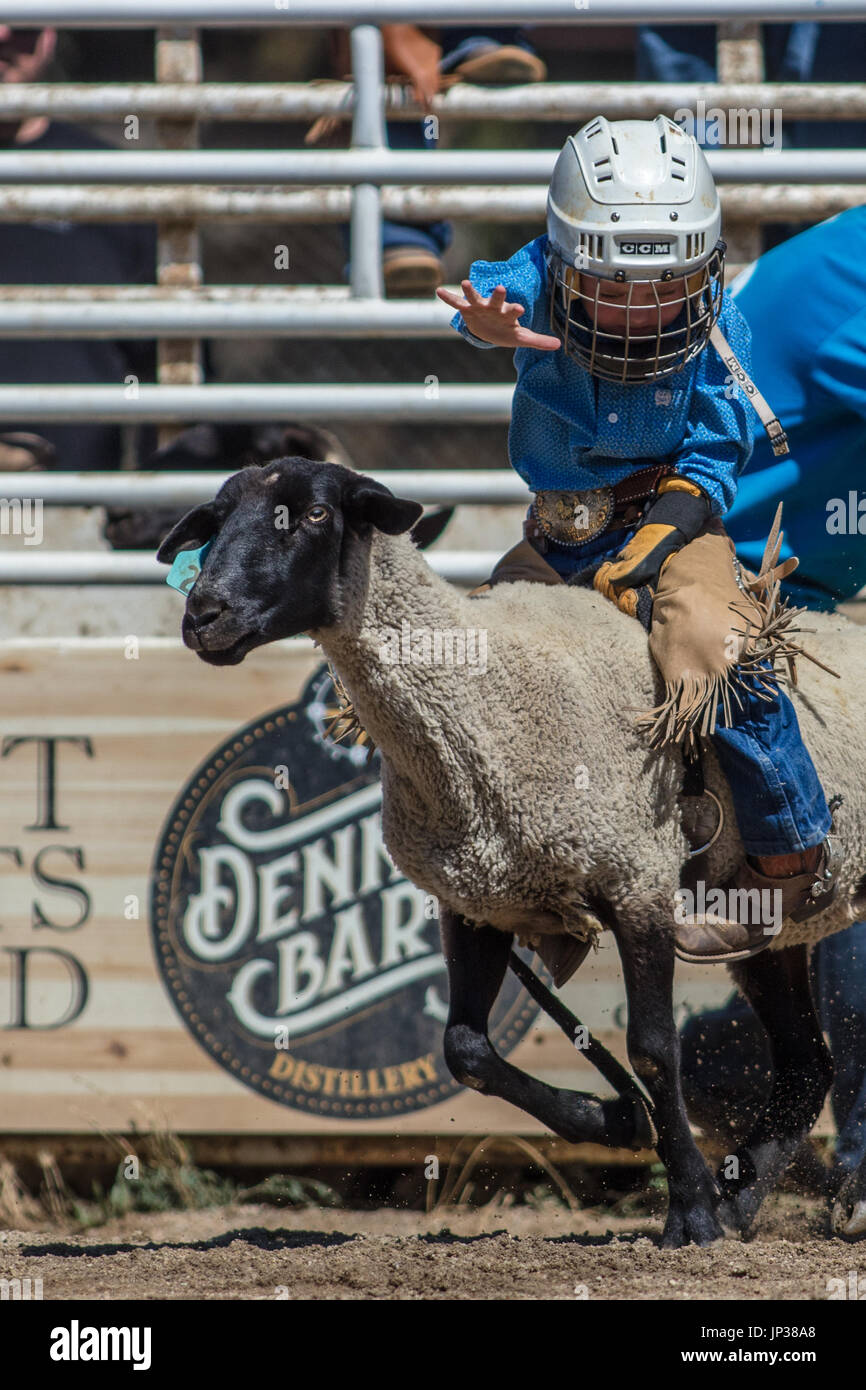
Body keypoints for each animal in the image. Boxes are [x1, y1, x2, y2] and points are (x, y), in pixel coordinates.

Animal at [158, 456, 866, 1248]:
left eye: (313, 515)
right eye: (216, 519)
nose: (203, 615)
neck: (483, 700)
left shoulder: (639, 880)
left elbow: (653, 1049)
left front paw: (689, 1213)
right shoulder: (478, 903)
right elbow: (465, 1050)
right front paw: (616, 1120)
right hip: (764, 931)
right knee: (807, 1065)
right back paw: (742, 1200)